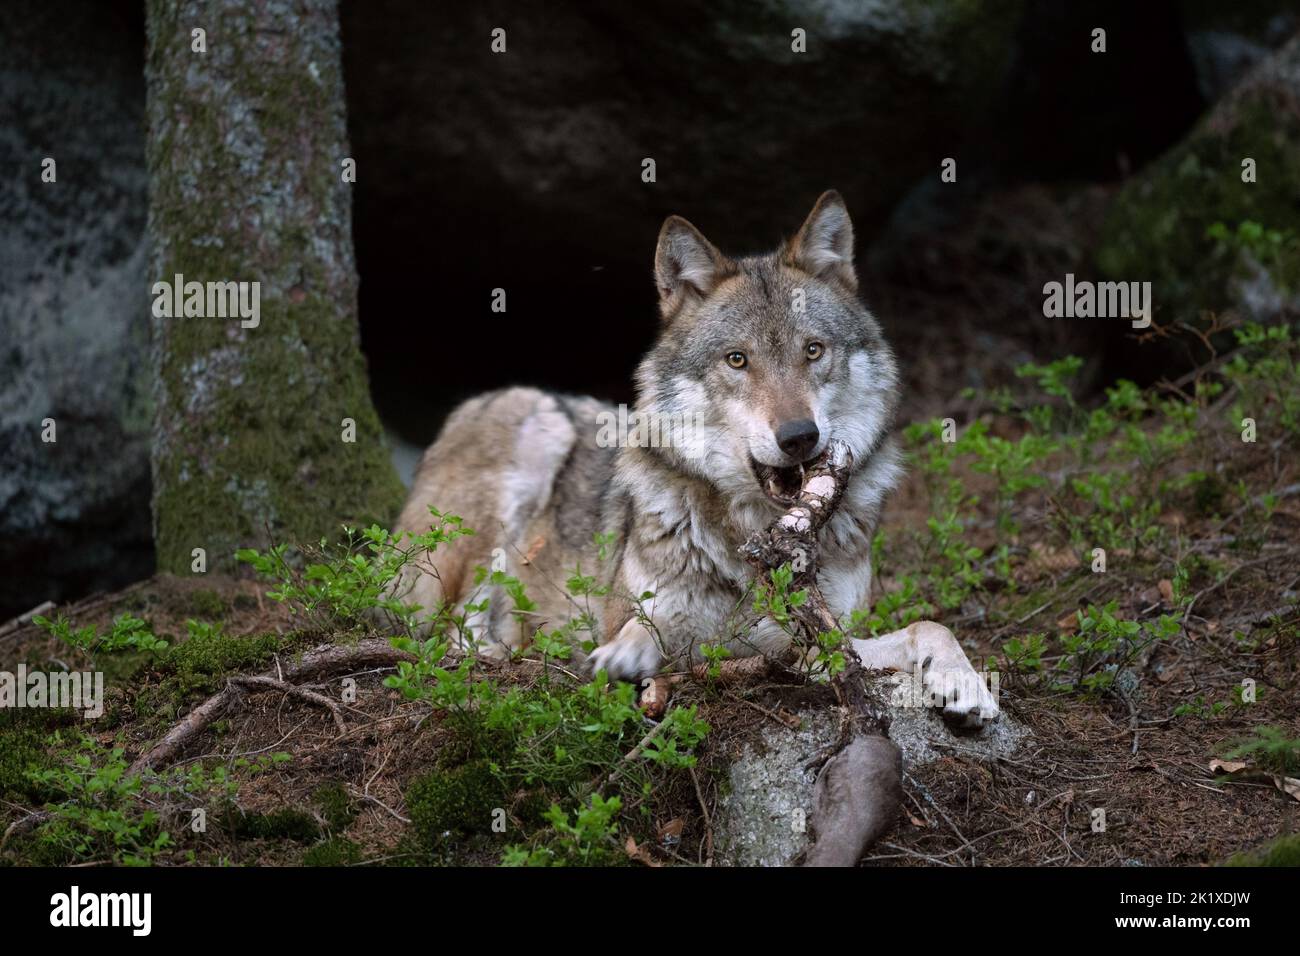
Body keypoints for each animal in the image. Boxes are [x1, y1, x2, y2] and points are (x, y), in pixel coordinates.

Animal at [389, 191, 998, 727]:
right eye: (737, 360)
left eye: (813, 350)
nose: (800, 436)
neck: (756, 534)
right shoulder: (644, 618)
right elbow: (643, 632)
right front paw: (624, 657)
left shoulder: (816, 640)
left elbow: (929, 626)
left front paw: (965, 682)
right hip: (529, 435)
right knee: (446, 628)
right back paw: (497, 653)